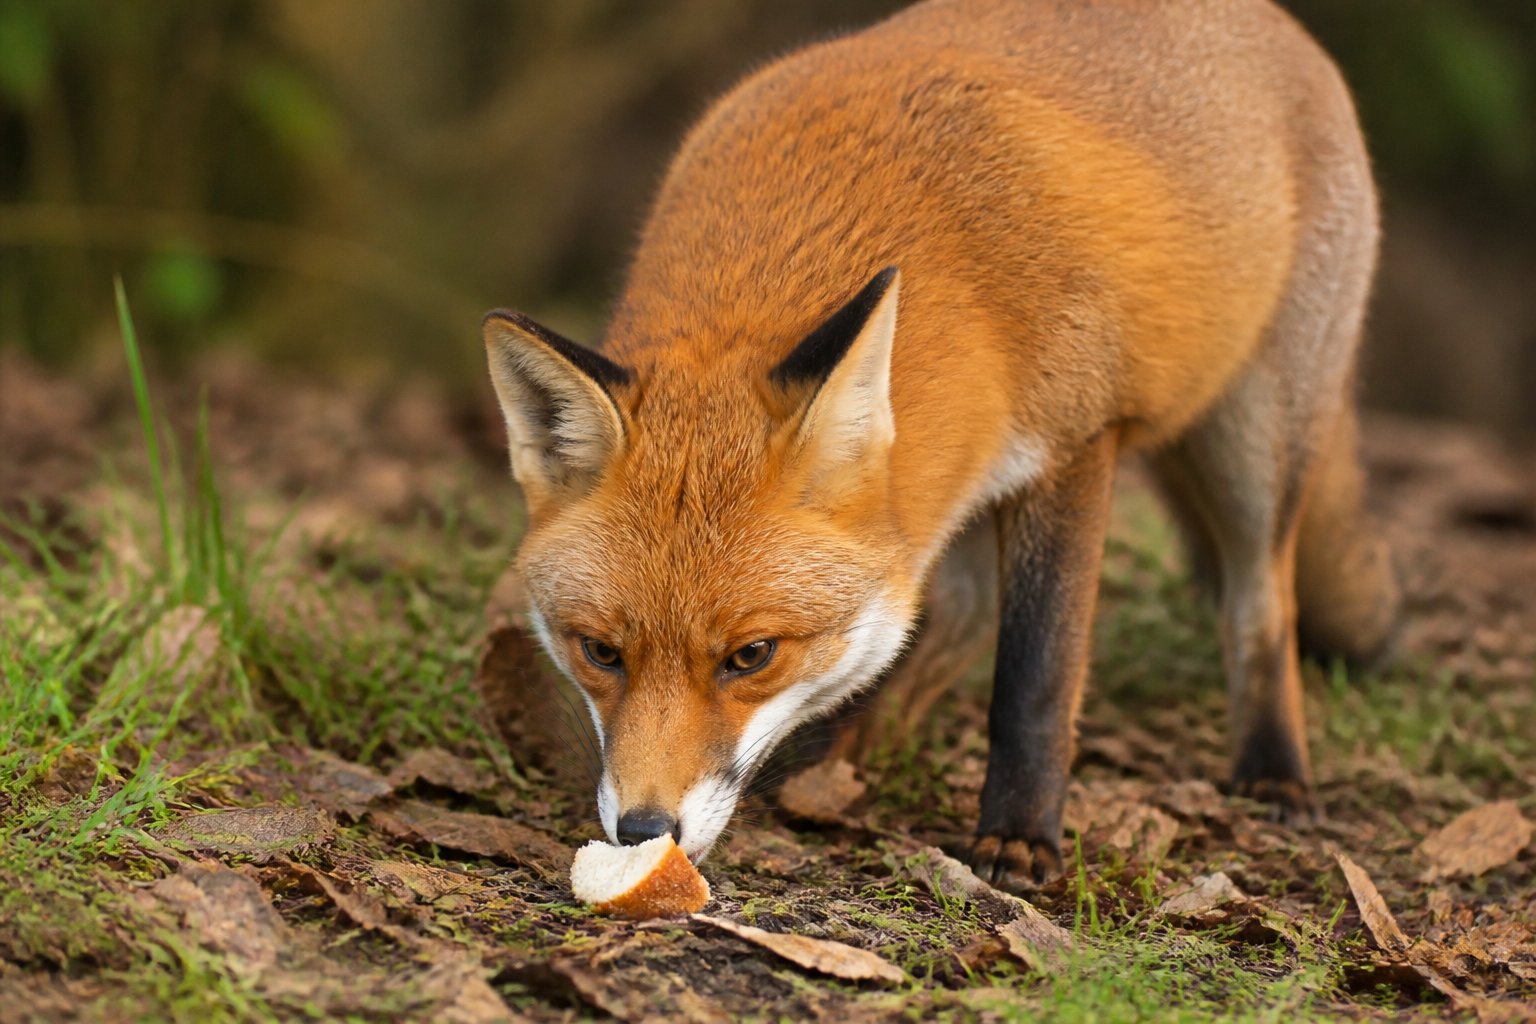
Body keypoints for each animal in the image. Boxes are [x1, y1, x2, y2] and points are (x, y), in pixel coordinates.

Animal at [482, 0, 1402, 890]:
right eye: (600, 652)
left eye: (751, 656)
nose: (644, 831)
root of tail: (1278, 24)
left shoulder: (1078, 443)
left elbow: (1035, 679)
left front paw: (1019, 839)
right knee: (957, 614)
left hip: (1258, 437)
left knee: (1263, 604)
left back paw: (1273, 769)